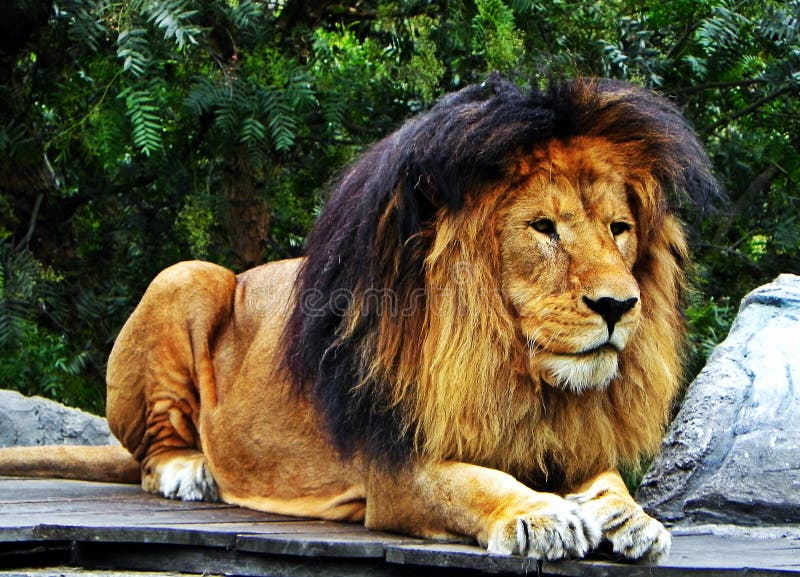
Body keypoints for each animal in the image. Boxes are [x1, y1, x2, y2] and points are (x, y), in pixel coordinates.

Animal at [0, 77, 717, 562]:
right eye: (543, 228)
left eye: (619, 229)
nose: (619, 306)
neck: (512, 368)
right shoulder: (396, 468)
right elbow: (474, 483)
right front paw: (540, 514)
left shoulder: (568, 437)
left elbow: (607, 479)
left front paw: (631, 517)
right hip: (185, 275)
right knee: (152, 453)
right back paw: (191, 470)